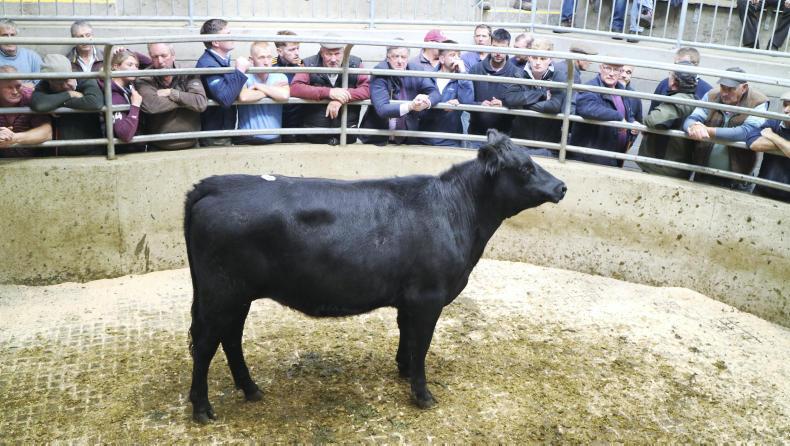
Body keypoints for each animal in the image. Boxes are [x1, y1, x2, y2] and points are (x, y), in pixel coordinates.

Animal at [184, 129, 566, 423]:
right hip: (222, 293)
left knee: (230, 339)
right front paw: (422, 393)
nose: (561, 186)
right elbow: (422, 343)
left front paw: (403, 370)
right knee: (205, 344)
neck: (457, 212)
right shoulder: (428, 297)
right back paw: (202, 408)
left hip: (234, 296)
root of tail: (214, 184)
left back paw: (251, 389)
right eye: (525, 167)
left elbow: (407, 337)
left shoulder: (408, 298)